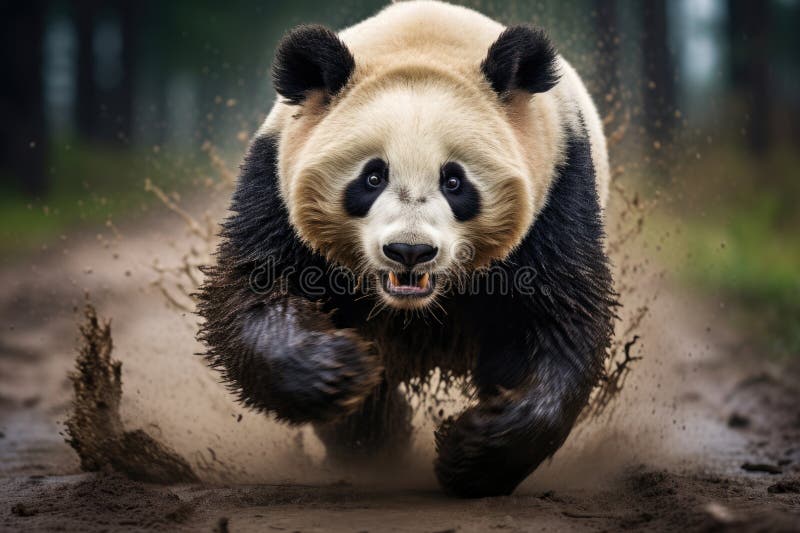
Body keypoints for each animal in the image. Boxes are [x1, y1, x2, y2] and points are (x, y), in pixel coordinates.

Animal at [198, 0, 615, 498]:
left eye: (454, 181)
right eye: (372, 176)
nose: (409, 252)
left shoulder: (556, 196)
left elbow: (557, 325)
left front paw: (472, 453)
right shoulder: (275, 185)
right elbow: (255, 291)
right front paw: (335, 371)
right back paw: (374, 439)